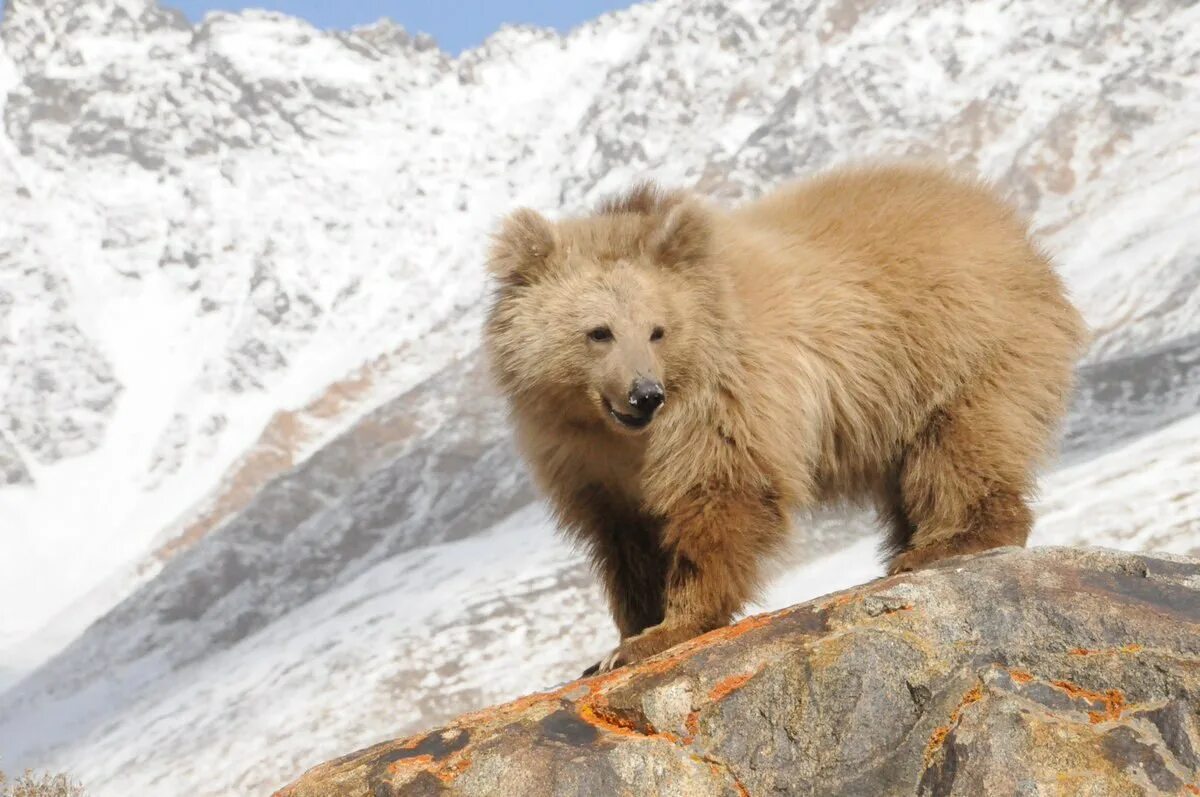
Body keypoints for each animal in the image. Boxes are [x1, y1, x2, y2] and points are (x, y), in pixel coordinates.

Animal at [480, 162, 1089, 672]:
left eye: (658, 329)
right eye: (598, 331)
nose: (644, 394)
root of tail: (1006, 220)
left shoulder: (729, 405)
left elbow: (721, 499)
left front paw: (666, 629)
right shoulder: (586, 461)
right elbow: (626, 543)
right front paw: (630, 631)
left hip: (954, 351)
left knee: (960, 448)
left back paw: (944, 542)